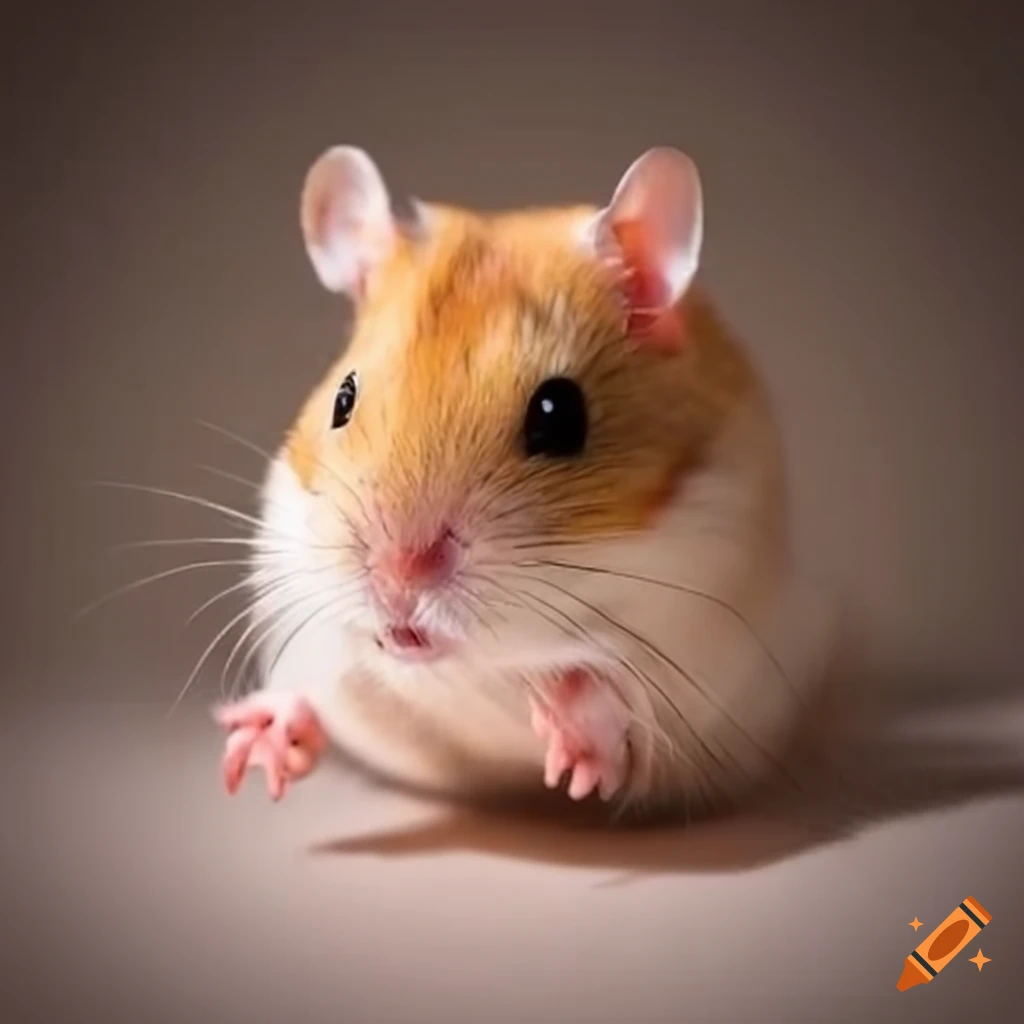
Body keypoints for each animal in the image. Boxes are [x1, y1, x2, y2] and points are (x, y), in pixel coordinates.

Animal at [215, 144, 830, 821]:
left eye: (559, 415)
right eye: (342, 400)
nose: (398, 579)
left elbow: (616, 700)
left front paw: (569, 734)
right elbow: (316, 690)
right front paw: (253, 747)